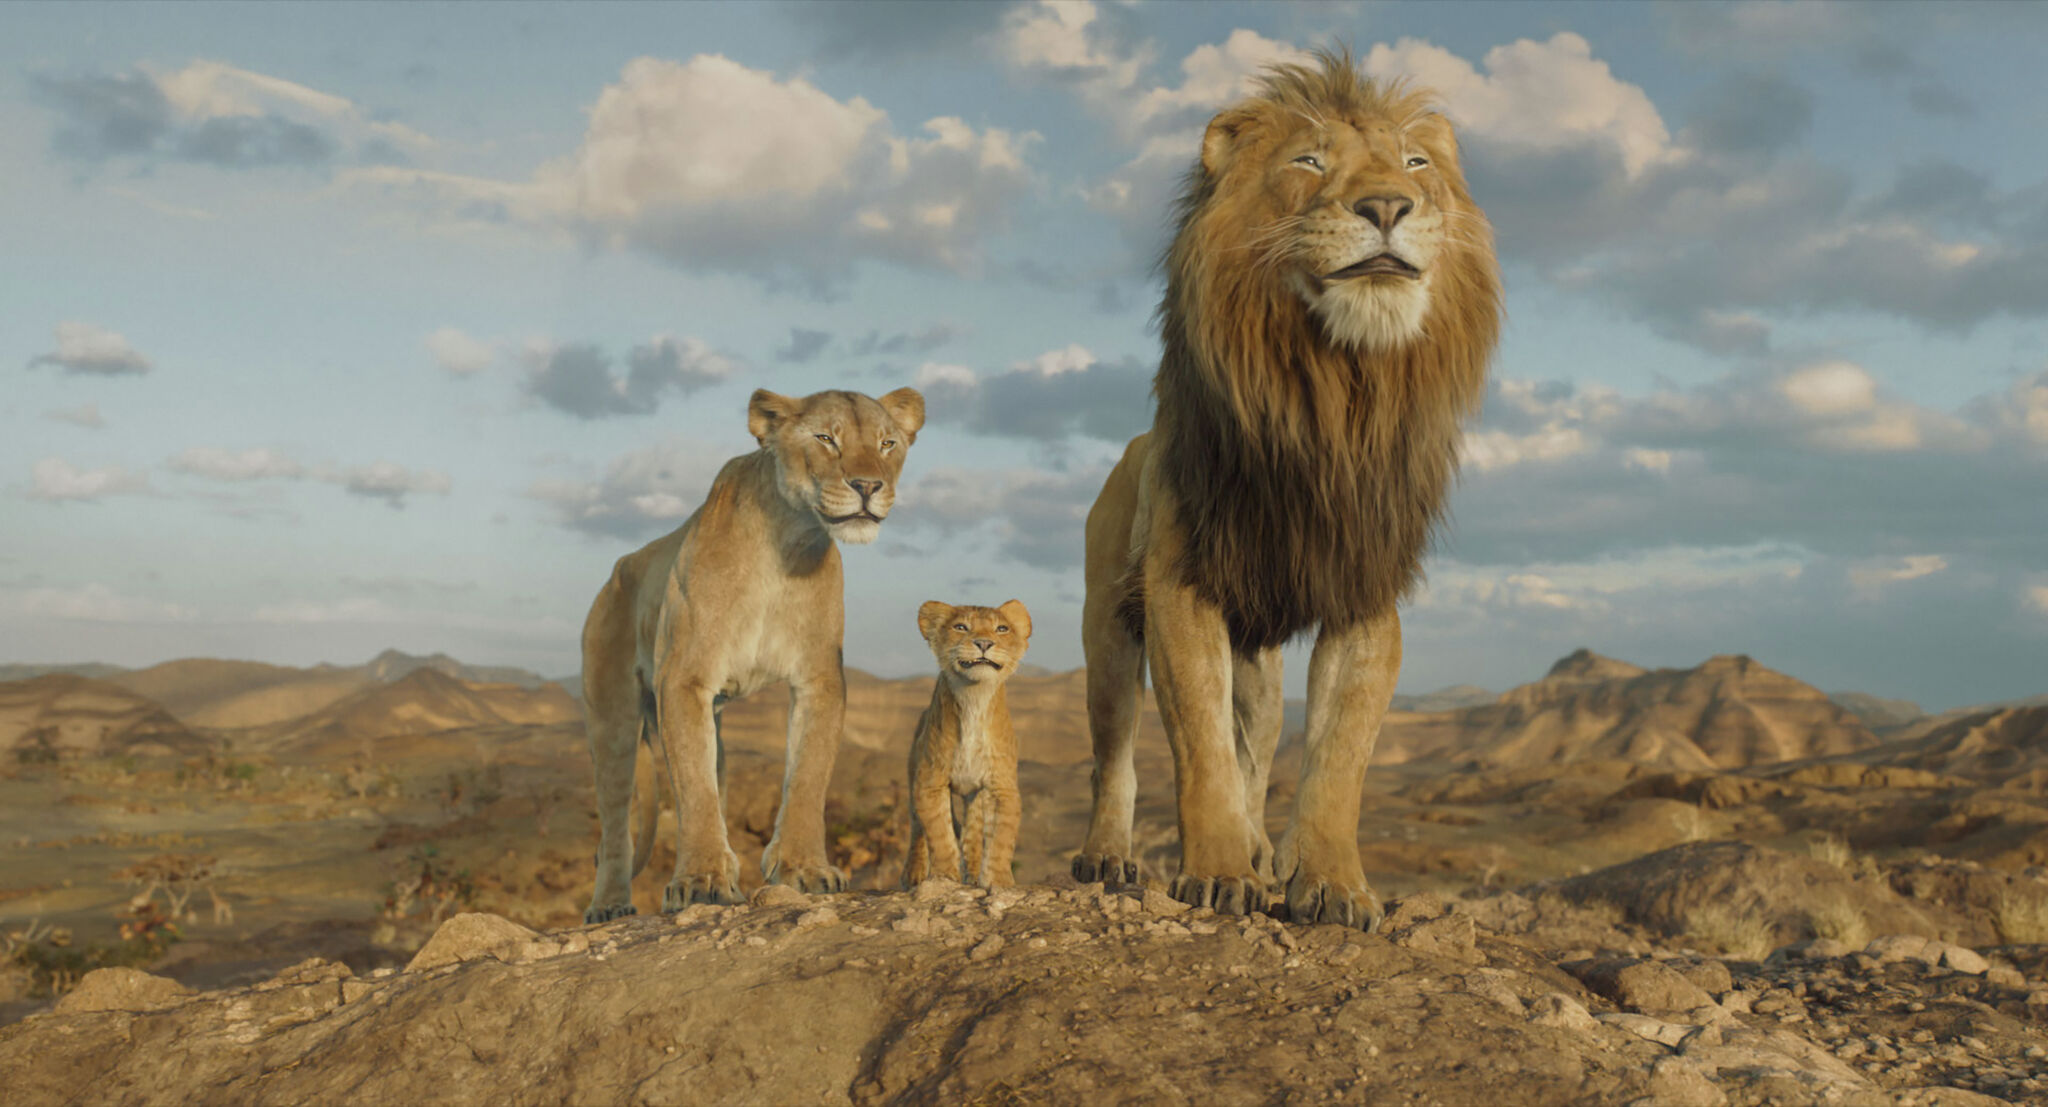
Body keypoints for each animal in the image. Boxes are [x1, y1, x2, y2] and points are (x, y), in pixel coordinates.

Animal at [580, 386, 925, 922]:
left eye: (887, 443)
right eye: (826, 439)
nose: (869, 485)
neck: (786, 541)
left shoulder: (819, 679)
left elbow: (807, 777)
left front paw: (804, 868)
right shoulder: (684, 679)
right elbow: (694, 790)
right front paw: (700, 881)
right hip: (612, 718)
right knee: (616, 823)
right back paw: (609, 905)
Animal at [901, 599, 1032, 888]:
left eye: (1002, 628)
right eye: (961, 627)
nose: (984, 643)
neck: (974, 698)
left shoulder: (1001, 786)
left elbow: (1001, 839)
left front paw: (997, 881)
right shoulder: (929, 782)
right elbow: (939, 834)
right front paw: (943, 877)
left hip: (976, 794)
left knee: (973, 833)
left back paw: (972, 873)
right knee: (916, 828)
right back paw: (914, 873)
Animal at [1071, 51, 1502, 929]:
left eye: (1417, 164)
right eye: (1308, 161)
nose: (1387, 206)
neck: (1334, 395)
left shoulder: (1364, 591)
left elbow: (1339, 756)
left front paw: (1332, 884)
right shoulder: (1180, 585)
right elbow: (1199, 748)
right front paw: (1216, 870)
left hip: (1259, 665)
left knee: (1257, 748)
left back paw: (1262, 846)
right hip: (1107, 629)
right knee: (1116, 752)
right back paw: (1108, 855)